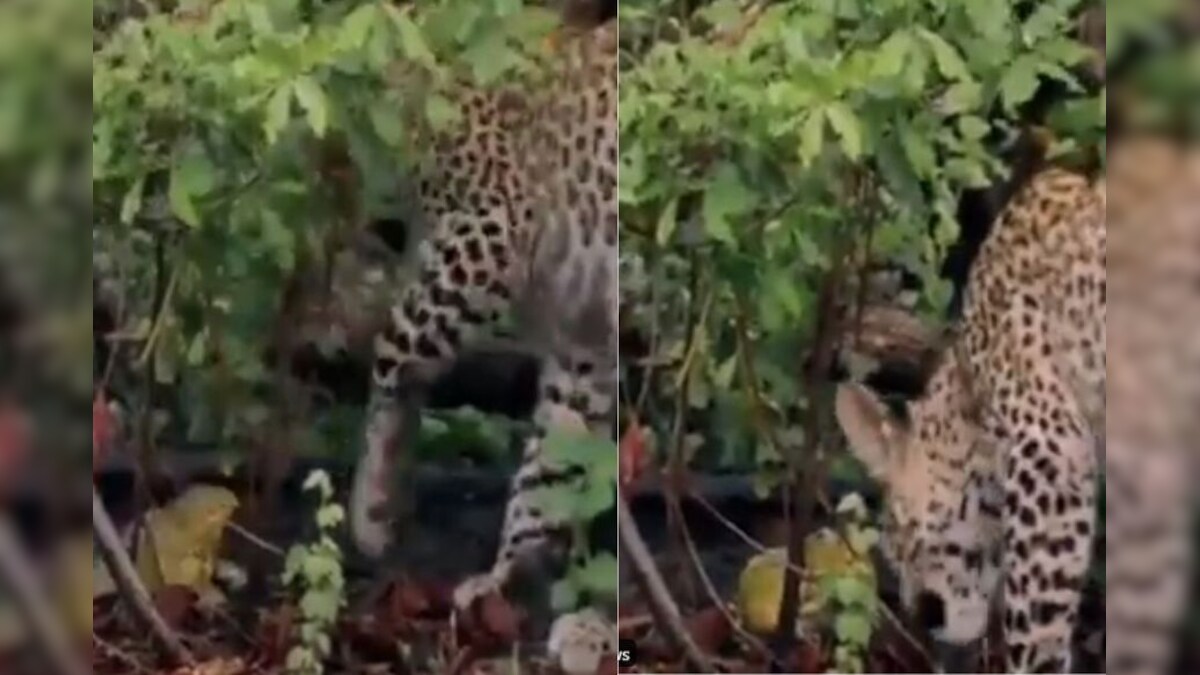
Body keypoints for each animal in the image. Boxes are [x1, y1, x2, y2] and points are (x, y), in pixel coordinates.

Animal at [345, 11, 618, 665]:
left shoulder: (492, 233)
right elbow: (551, 465)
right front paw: (509, 578)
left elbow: (393, 350)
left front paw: (375, 506)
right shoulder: (583, 345)